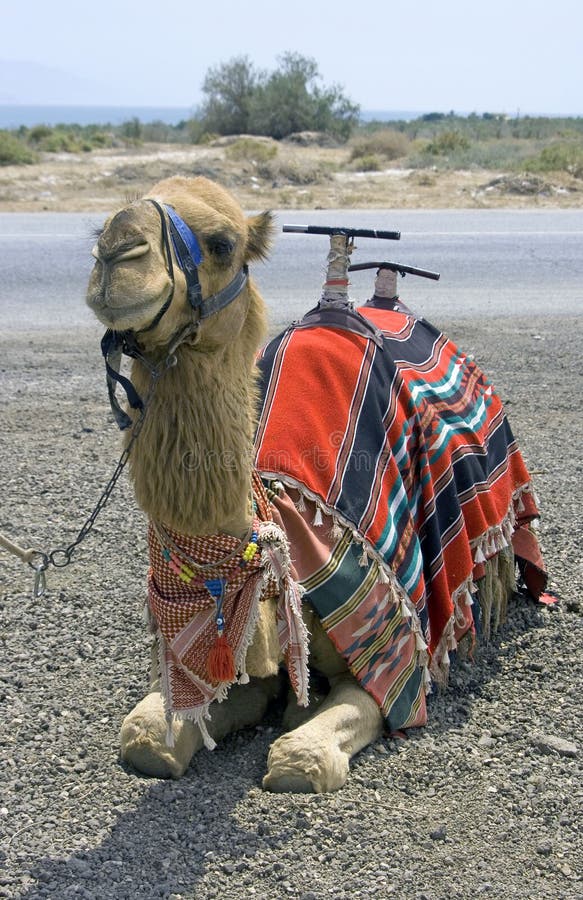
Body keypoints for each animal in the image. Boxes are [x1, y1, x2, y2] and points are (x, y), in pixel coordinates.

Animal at [86, 176, 544, 793]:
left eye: (222, 242)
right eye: (101, 226)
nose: (116, 255)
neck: (278, 517)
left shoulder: (389, 648)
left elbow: (299, 760)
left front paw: (295, 732)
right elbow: (145, 736)